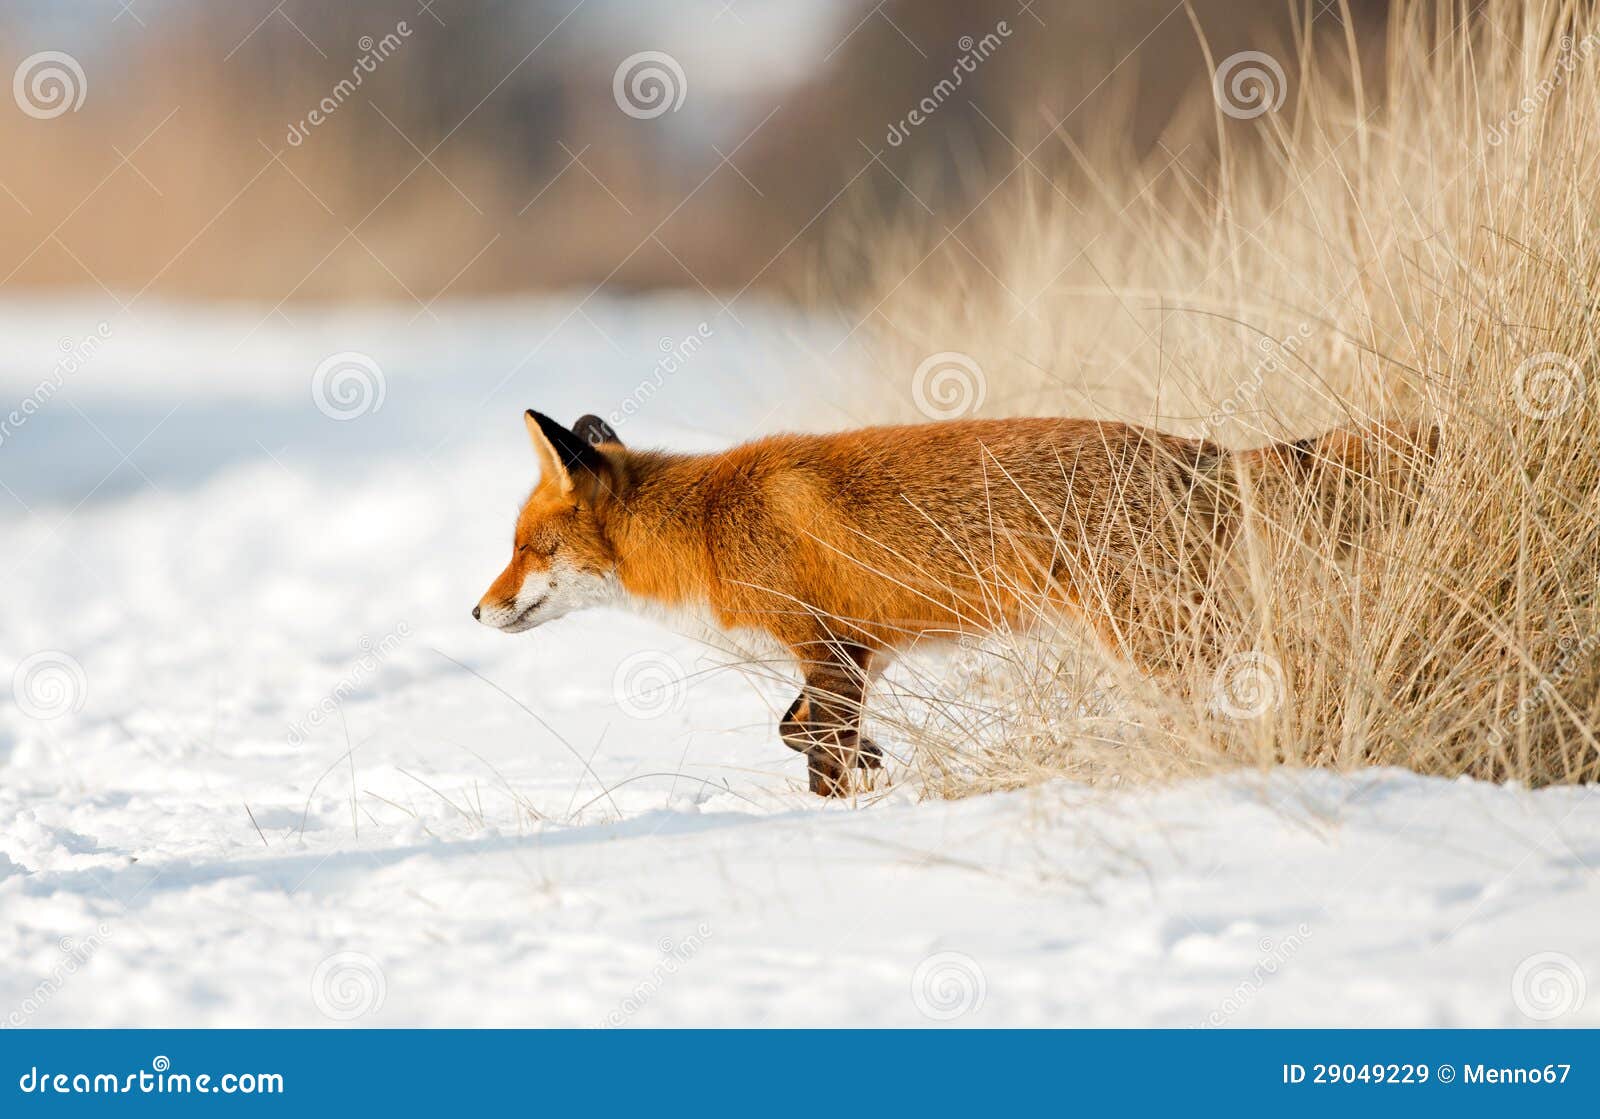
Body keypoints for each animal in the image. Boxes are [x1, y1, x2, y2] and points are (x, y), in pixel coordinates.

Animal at [475, 409, 1437, 796]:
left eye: (528, 548)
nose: (477, 613)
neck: (707, 530)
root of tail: (1201, 449)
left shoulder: (829, 647)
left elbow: (816, 750)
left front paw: (833, 812)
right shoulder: (854, 652)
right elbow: (795, 727)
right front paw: (871, 759)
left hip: (1151, 639)